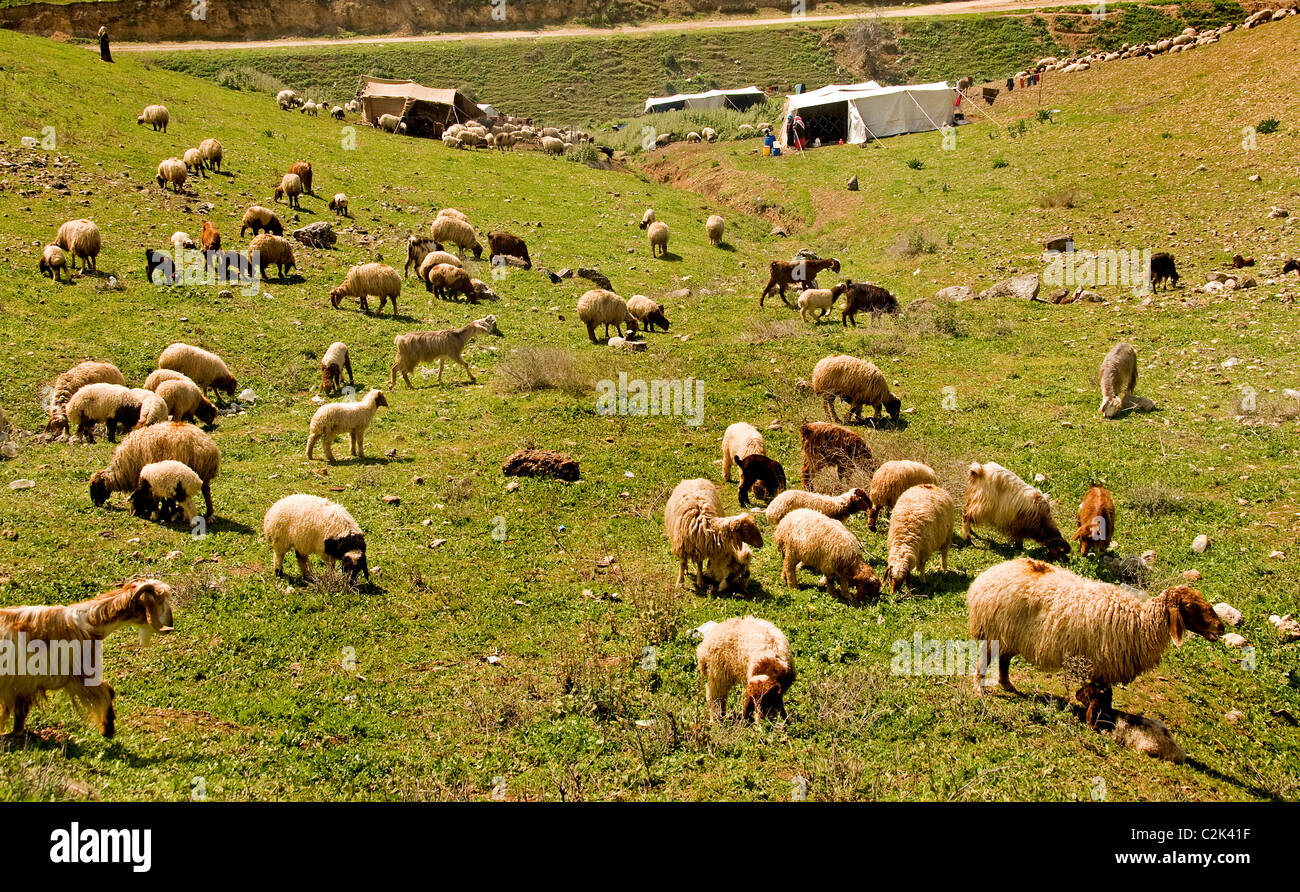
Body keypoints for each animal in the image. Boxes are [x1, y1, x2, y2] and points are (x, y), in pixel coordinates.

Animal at [0, 579, 173, 738]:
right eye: (160, 601)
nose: (171, 623)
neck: (88, 623)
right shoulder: (76, 674)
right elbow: (107, 691)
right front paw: (107, 729)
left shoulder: (24, 684)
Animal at [89, 422, 220, 521]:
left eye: (95, 488)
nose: (97, 504)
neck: (123, 471)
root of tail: (208, 447)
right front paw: (167, 511)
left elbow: (162, 498)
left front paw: (164, 512)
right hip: (203, 474)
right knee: (206, 491)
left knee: (204, 493)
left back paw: (206, 515)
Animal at [966, 557, 1224, 727]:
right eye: (1190, 606)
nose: (1220, 628)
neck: (1140, 623)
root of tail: (985, 577)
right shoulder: (1103, 667)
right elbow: (1102, 696)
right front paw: (1095, 721)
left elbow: (1102, 696)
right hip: (993, 630)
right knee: (984, 661)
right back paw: (979, 690)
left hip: (1010, 634)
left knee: (1004, 660)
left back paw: (1007, 684)